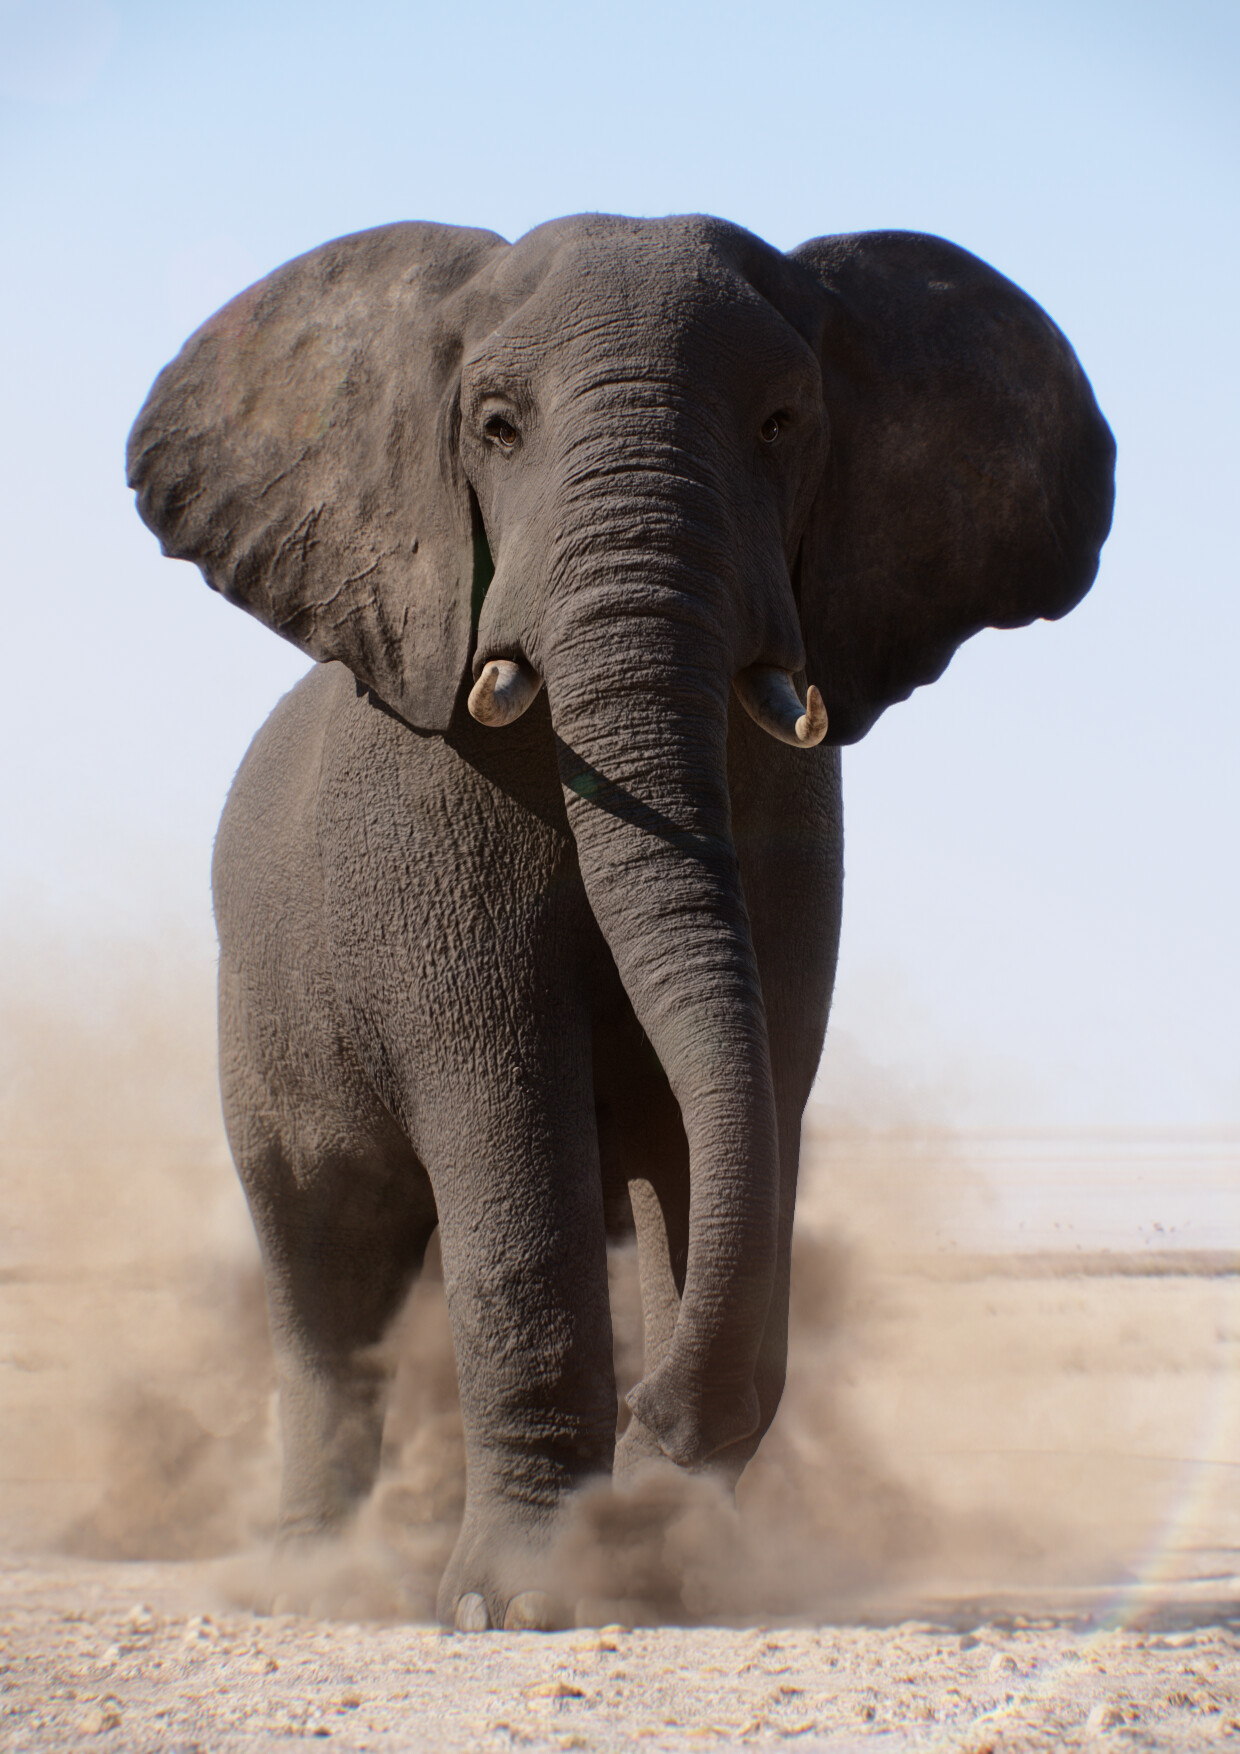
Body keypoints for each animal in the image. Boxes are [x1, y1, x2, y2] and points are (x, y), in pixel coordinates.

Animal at [127, 213, 1114, 1630]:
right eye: (494, 425)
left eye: (780, 423)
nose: (656, 1418)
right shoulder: (432, 839)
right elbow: (508, 1137)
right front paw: (523, 1603)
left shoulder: (789, 815)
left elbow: (733, 1102)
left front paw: (665, 1566)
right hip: (255, 1025)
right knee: (325, 1264)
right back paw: (310, 1572)